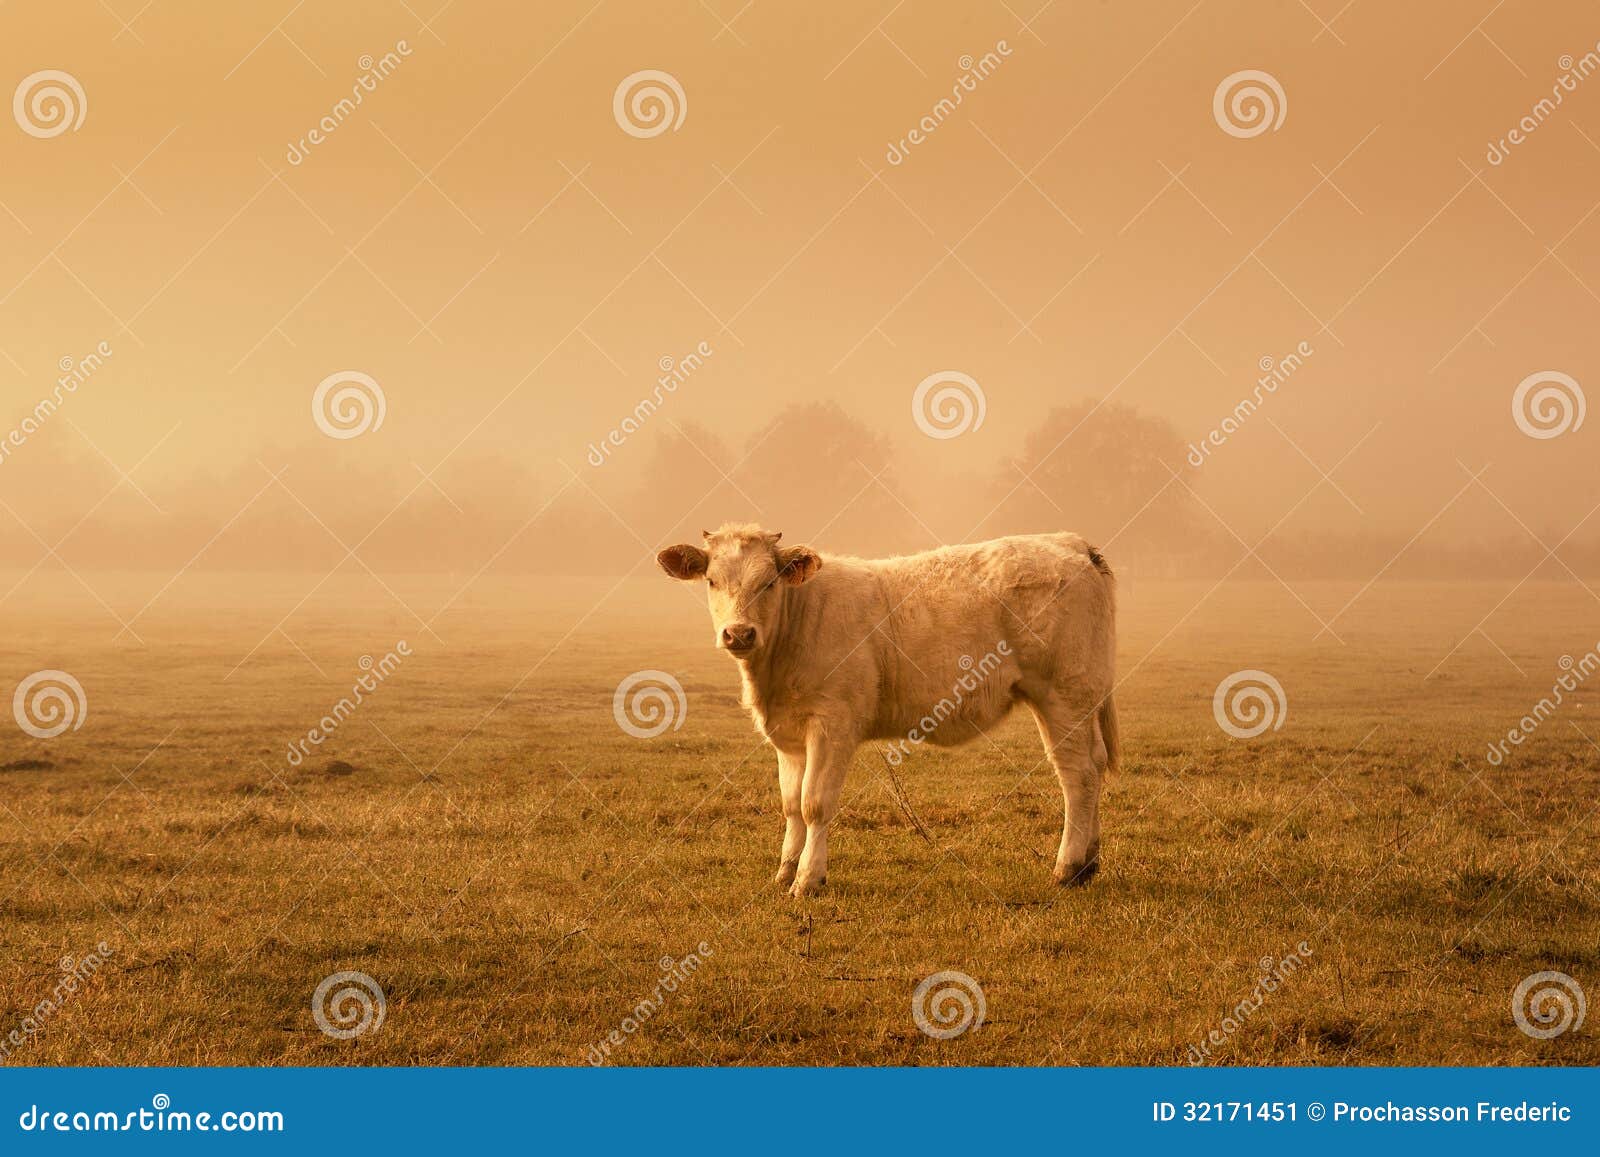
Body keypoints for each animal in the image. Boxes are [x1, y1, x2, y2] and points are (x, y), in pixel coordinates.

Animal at [657, 523, 1119, 897]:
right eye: (712, 581)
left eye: (769, 582)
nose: (738, 633)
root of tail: (1070, 542)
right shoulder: (788, 737)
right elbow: (790, 803)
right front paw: (786, 871)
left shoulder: (833, 724)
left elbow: (814, 802)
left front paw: (808, 879)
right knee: (1095, 765)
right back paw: (1089, 863)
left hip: (1064, 694)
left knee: (1077, 774)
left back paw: (1068, 868)